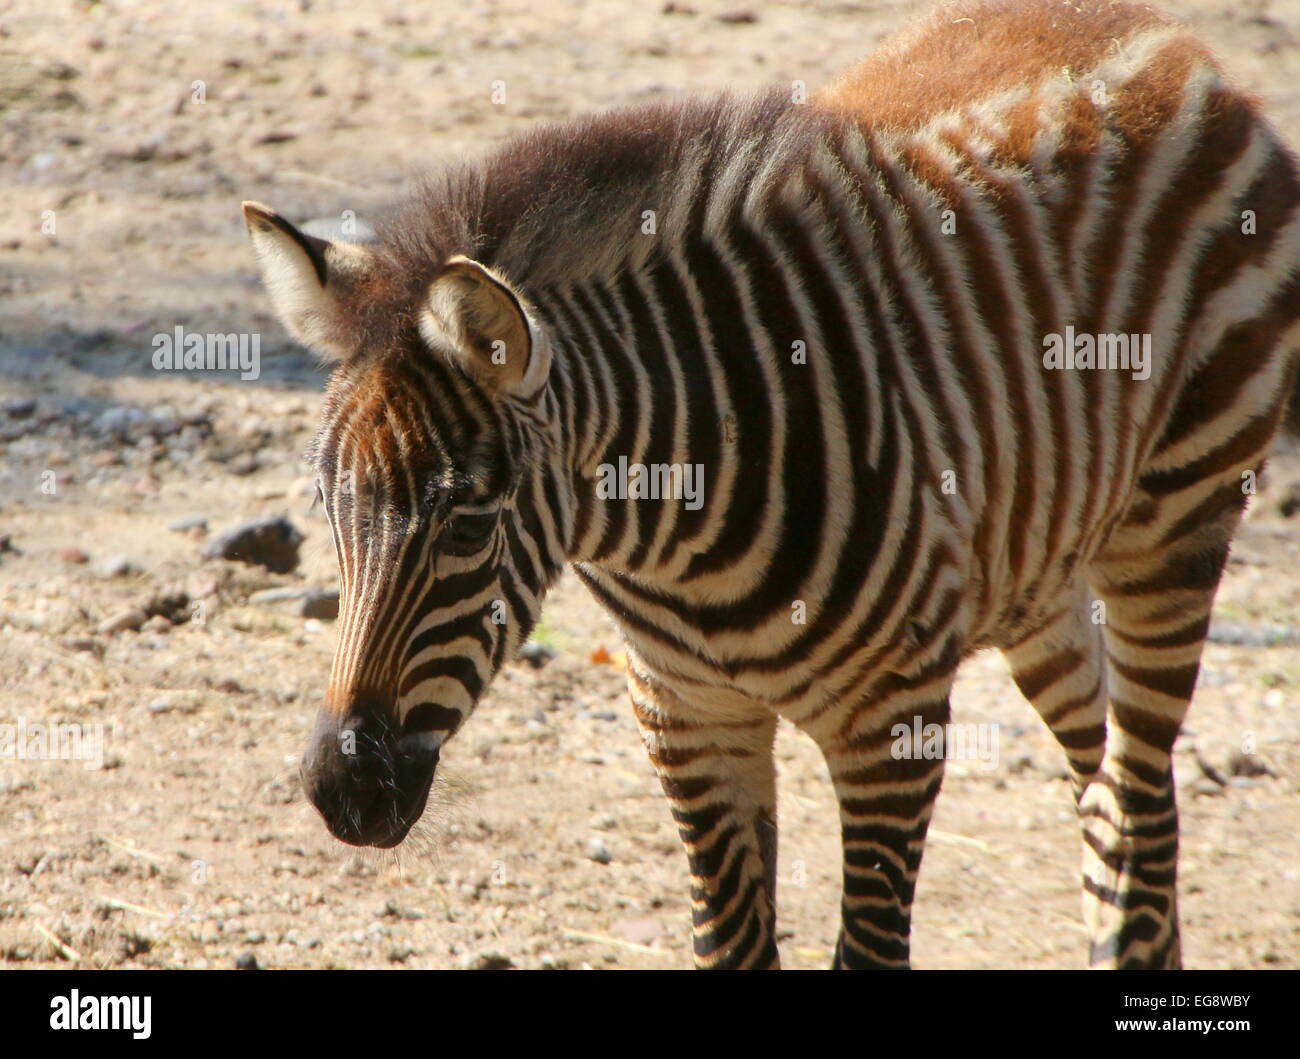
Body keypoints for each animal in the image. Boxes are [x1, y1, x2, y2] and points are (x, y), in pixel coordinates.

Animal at [242, 0, 1300, 968]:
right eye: (329, 512)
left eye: (467, 524)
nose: (341, 791)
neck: (669, 529)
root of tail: (1166, 33)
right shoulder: (684, 716)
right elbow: (731, 944)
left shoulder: (892, 723)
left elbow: (867, 949)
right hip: (1035, 562)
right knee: (1107, 781)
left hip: (1177, 524)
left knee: (1140, 783)